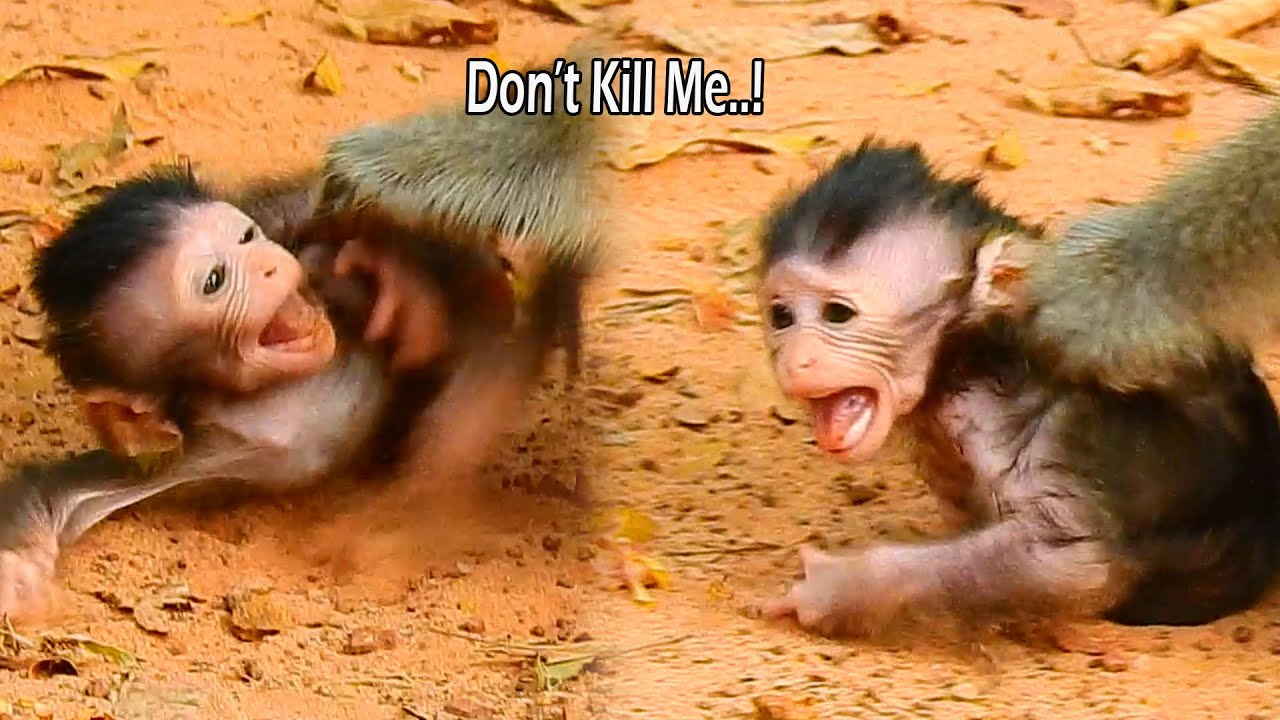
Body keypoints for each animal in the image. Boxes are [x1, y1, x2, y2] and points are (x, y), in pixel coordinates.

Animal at [0, 51, 608, 619]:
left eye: (246, 238)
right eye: (215, 280)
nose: (271, 265)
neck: (286, 396)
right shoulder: (194, 451)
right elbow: (60, 492)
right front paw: (18, 575)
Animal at [755, 139, 1280, 639]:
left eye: (837, 314)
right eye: (782, 317)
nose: (796, 359)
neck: (970, 357)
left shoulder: (1036, 422)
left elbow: (1070, 561)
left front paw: (838, 589)